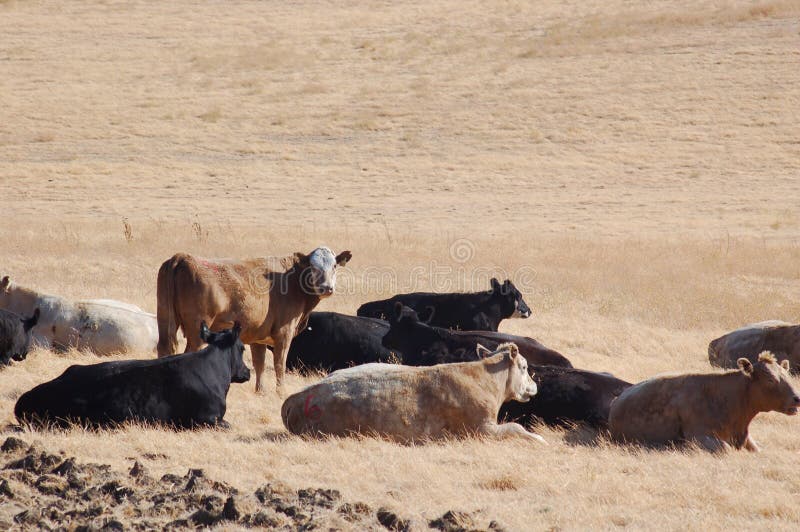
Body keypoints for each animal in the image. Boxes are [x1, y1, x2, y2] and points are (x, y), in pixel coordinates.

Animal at [156, 247, 352, 392]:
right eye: (312, 266)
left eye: (334, 265)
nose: (327, 287)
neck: (292, 279)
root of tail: (182, 257)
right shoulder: (284, 333)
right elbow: (279, 364)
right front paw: (281, 392)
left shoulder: (258, 337)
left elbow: (259, 364)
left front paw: (260, 391)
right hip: (197, 330)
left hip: (164, 320)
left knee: (164, 349)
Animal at [281, 342, 546, 443]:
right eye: (524, 367)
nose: (535, 386)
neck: (486, 380)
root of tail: (296, 398)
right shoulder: (482, 428)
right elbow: (516, 428)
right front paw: (540, 439)